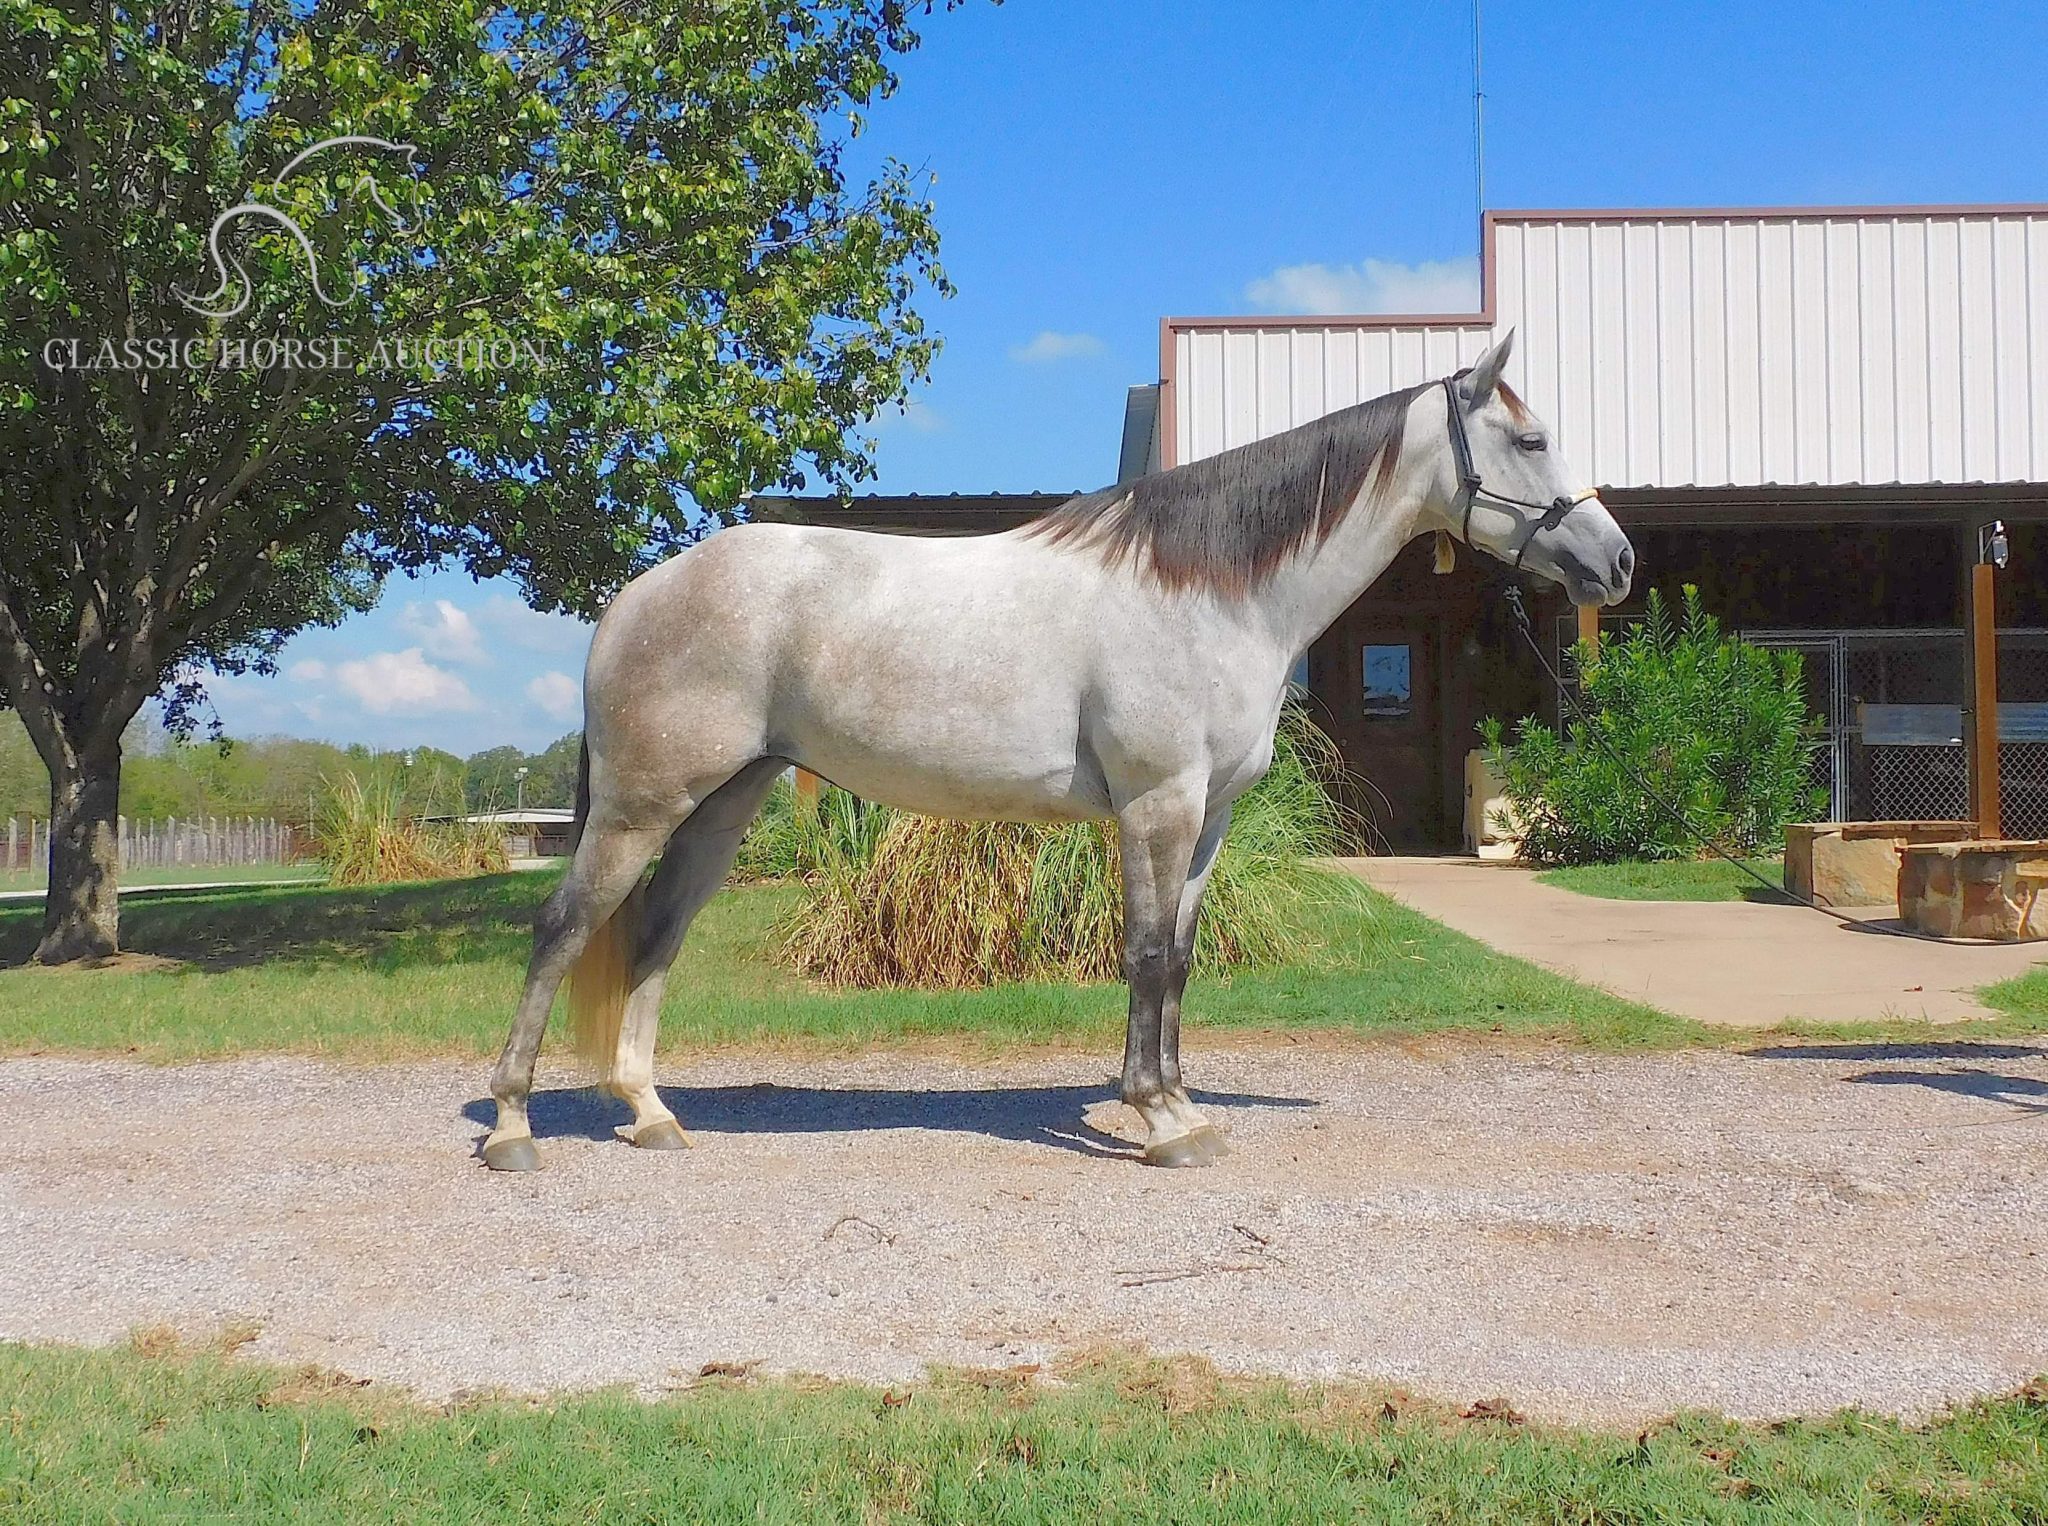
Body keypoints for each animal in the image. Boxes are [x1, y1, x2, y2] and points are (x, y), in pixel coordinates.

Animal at [482, 329, 1635, 1172]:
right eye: (1532, 442)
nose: (1616, 562)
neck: (1208, 591)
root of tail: (638, 594)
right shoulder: (1157, 805)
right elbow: (1144, 952)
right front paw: (1157, 1121)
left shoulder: (1209, 818)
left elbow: (1179, 958)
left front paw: (1177, 1103)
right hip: (641, 805)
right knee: (561, 929)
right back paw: (513, 1126)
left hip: (721, 806)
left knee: (656, 936)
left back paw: (651, 1113)